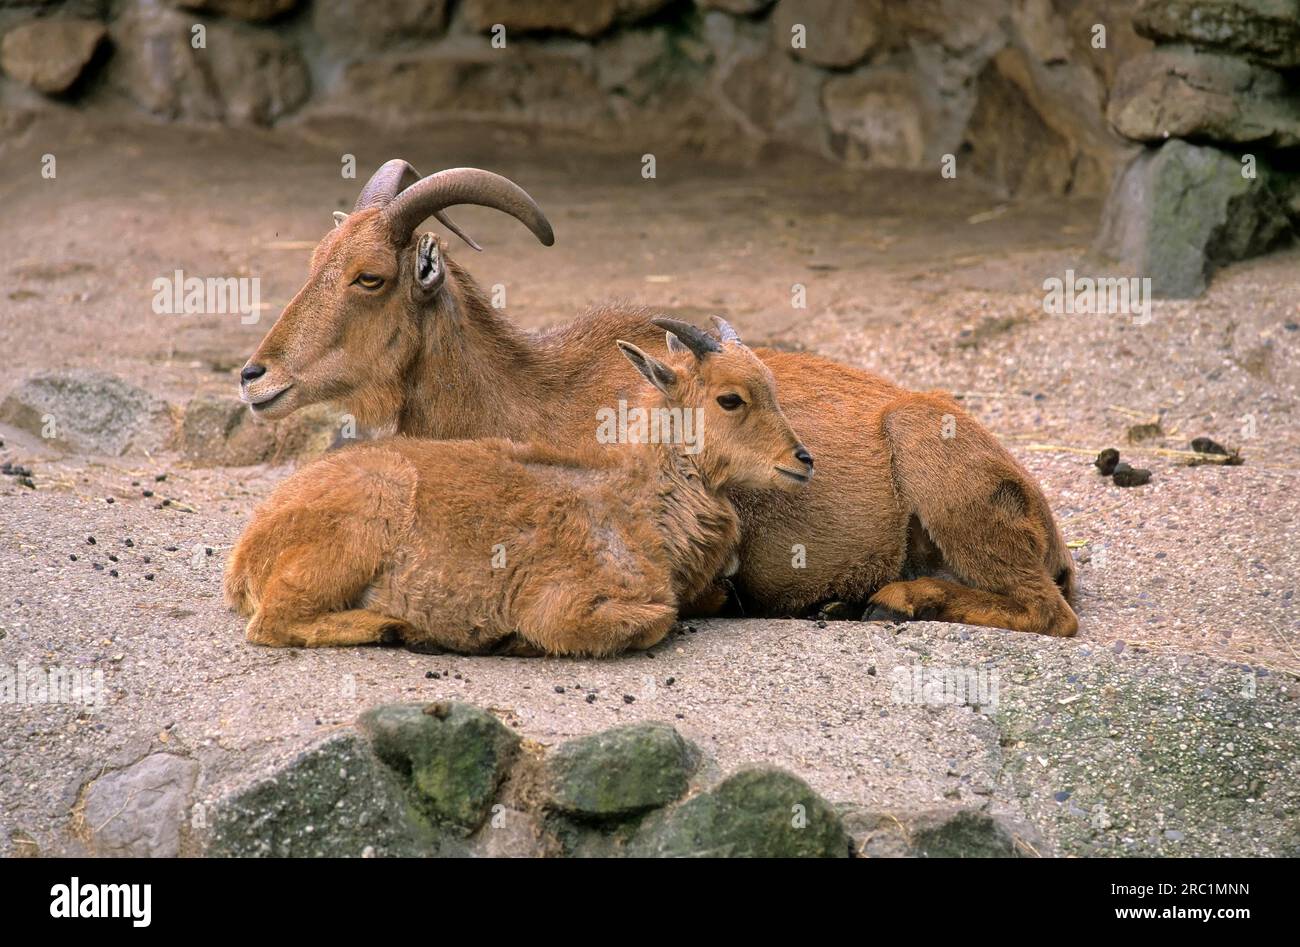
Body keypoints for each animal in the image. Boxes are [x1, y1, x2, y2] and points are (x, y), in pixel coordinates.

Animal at [225, 317, 813, 654]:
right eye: (730, 399)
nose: (803, 459)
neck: (641, 506)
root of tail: (246, 554)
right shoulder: (563, 602)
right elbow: (654, 620)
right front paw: (510, 639)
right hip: (361, 523)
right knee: (273, 621)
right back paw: (398, 625)